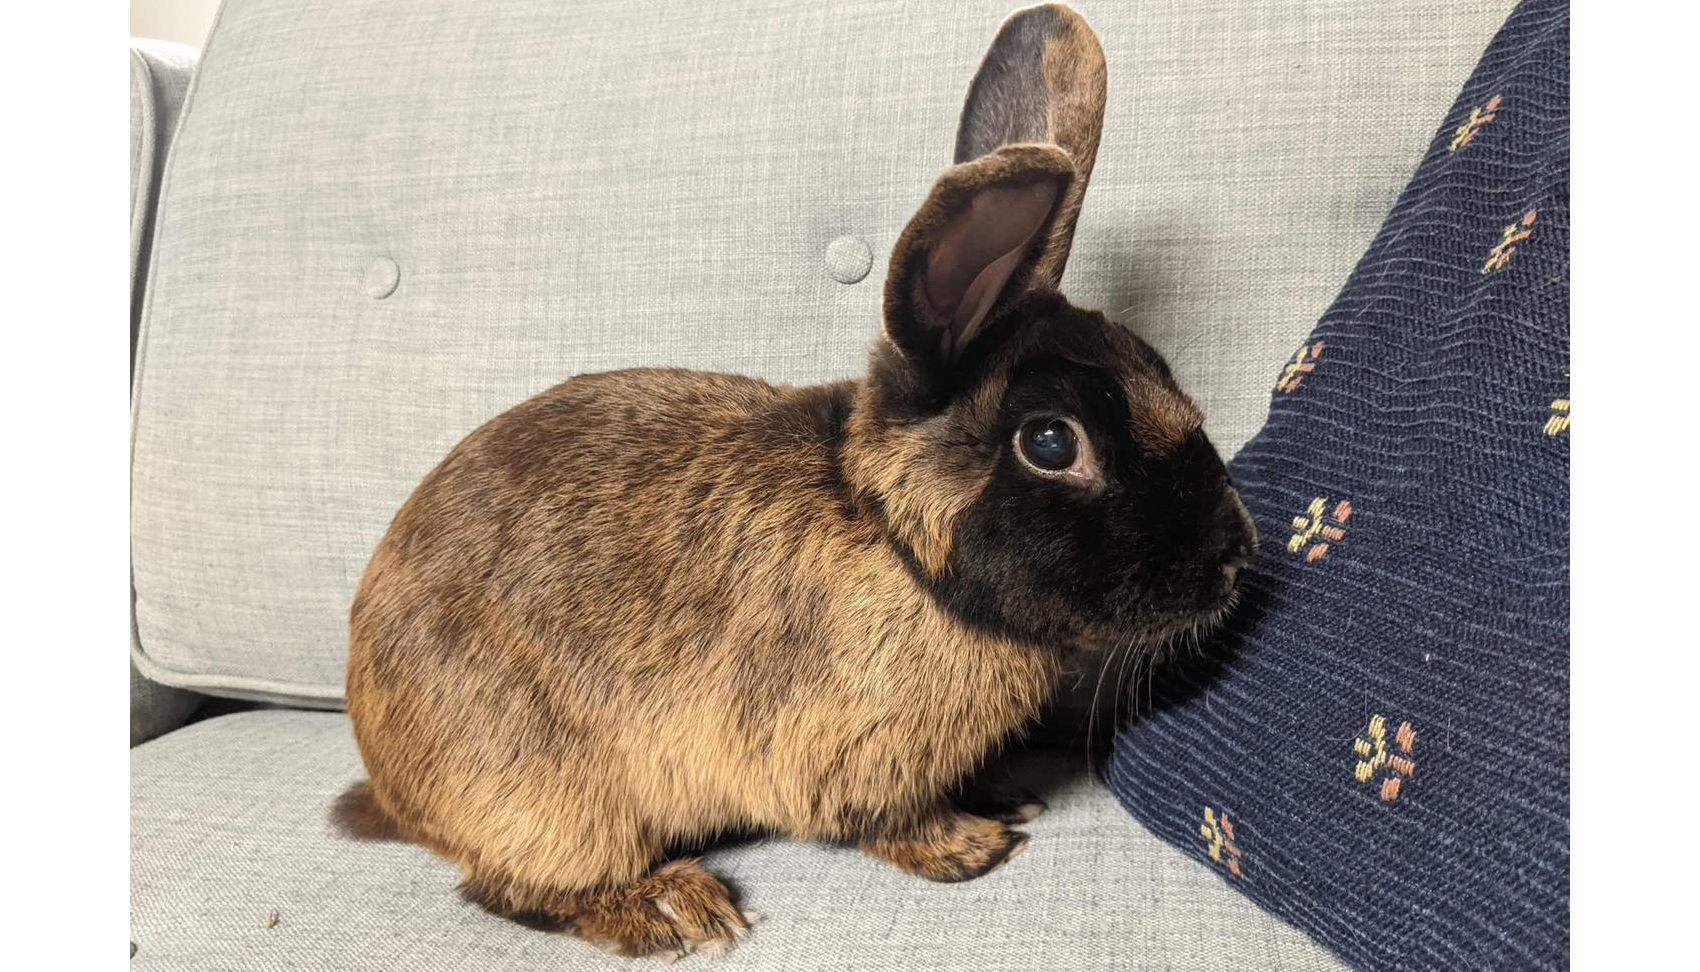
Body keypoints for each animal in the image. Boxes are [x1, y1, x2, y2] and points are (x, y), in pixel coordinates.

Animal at [338, 2, 1256, 961]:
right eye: (1050, 441)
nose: (1236, 560)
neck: (890, 538)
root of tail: (388, 776)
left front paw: (1005, 794)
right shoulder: (843, 752)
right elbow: (887, 818)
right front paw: (971, 846)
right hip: (542, 792)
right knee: (516, 885)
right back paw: (676, 908)